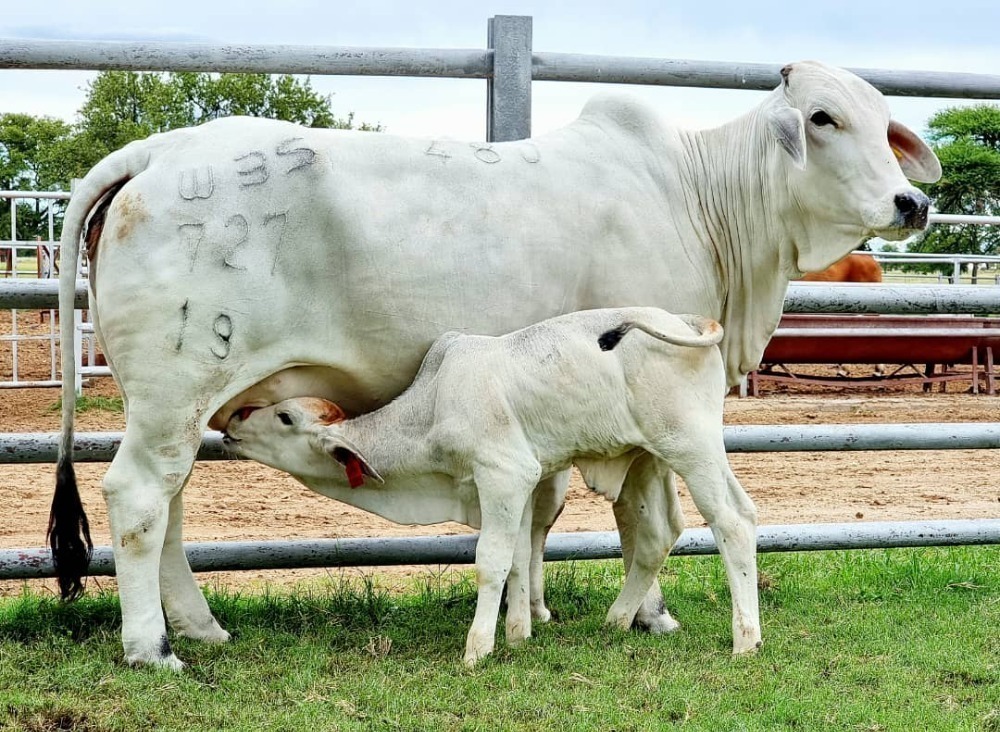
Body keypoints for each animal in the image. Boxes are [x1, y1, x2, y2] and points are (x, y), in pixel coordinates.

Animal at [223, 307, 752, 665]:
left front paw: (478, 649)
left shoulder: (505, 474)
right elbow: (518, 557)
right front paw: (519, 633)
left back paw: (745, 639)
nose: (233, 420)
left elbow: (491, 562)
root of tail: (684, 321)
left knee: (733, 522)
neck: (431, 408)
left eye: (285, 417)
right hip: (651, 457)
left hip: (692, 447)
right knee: (664, 532)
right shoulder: (517, 485)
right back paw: (617, 620)